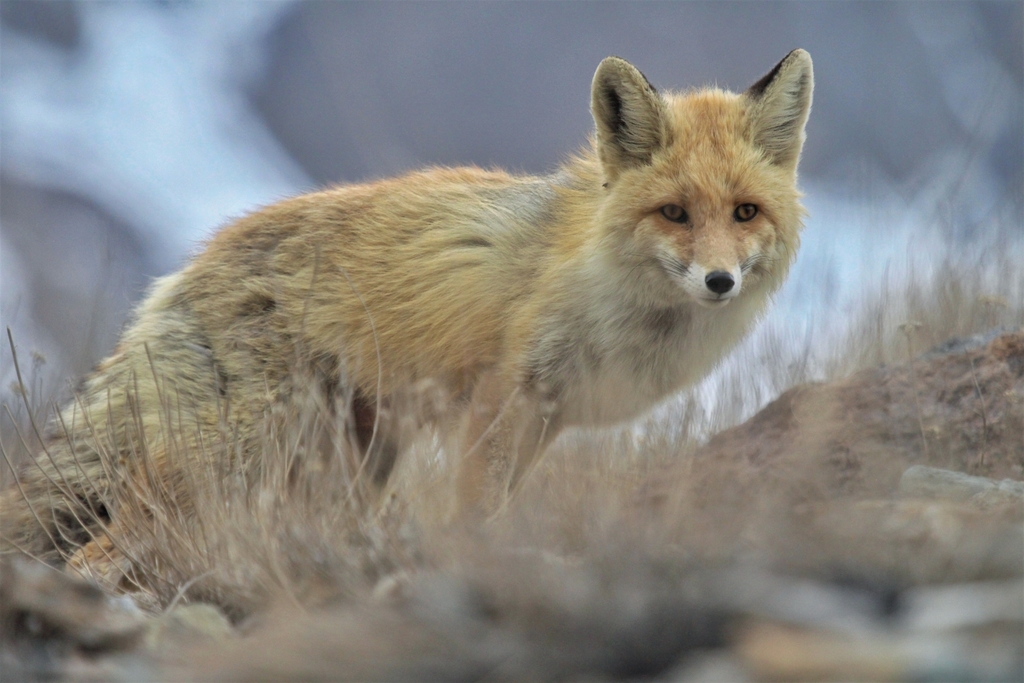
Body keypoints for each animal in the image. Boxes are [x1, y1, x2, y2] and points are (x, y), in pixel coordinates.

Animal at [1, 51, 812, 578]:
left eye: (745, 213)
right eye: (675, 213)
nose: (719, 280)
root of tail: (188, 264)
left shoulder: (547, 419)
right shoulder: (504, 396)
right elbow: (473, 511)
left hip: (350, 460)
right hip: (240, 446)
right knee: (102, 542)